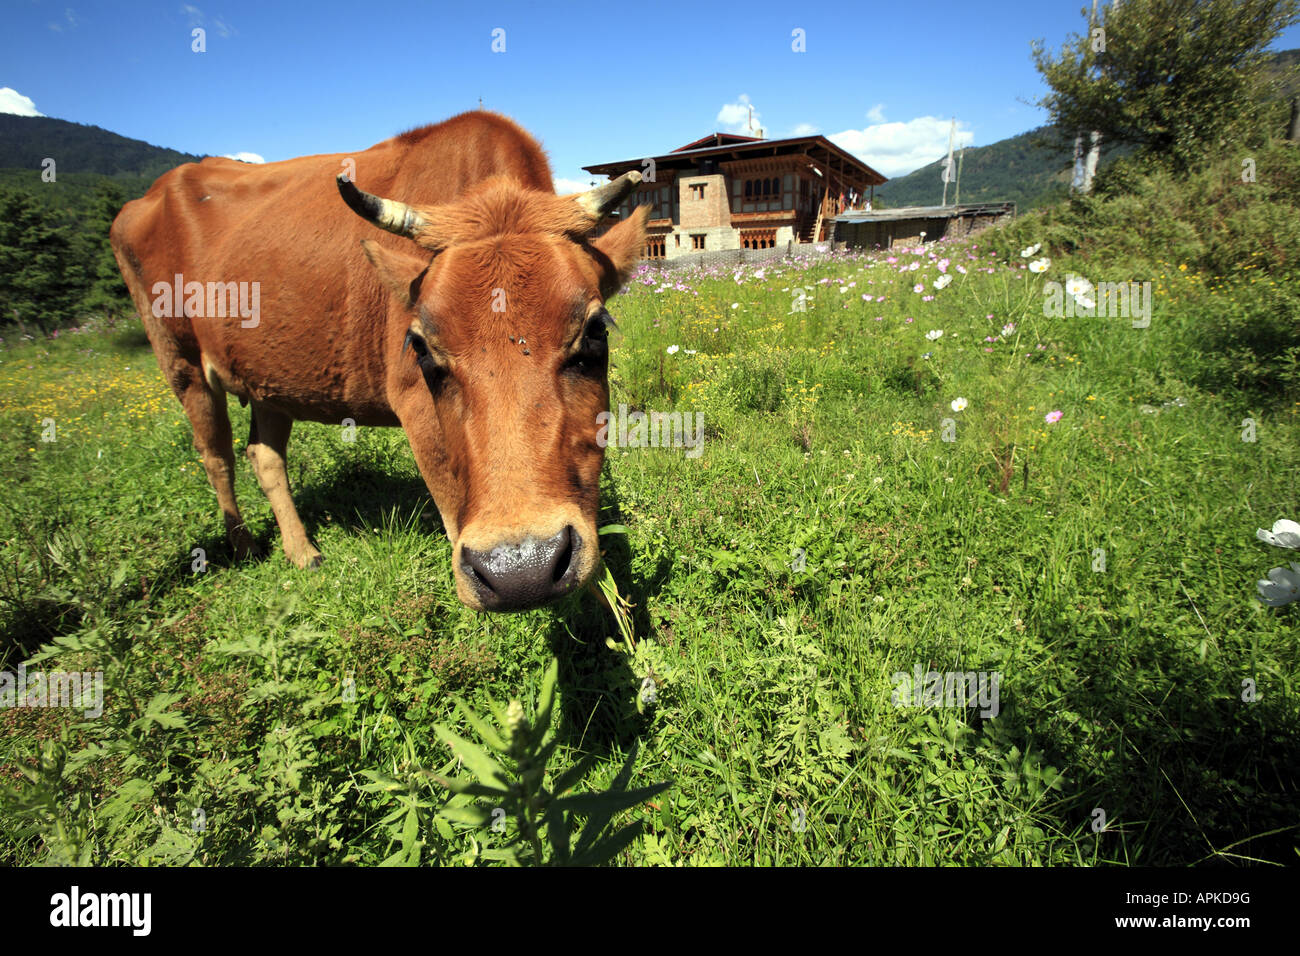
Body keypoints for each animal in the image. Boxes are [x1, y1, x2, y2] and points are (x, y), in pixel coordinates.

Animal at [110, 110, 649, 612]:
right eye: (421, 347)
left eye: (596, 329)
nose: (523, 570)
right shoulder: (412, 399)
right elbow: (448, 499)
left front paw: (605, 603)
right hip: (178, 358)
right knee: (215, 454)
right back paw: (242, 545)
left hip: (268, 379)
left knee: (263, 455)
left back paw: (302, 551)